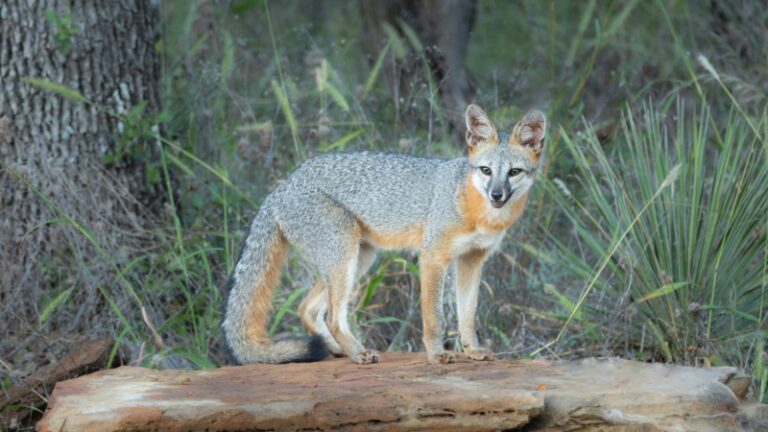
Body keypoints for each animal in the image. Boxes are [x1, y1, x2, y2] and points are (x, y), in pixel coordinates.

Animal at [222, 104, 545, 365]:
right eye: (486, 170)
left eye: (514, 172)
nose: (496, 195)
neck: (476, 210)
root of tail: (282, 186)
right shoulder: (433, 257)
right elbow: (435, 317)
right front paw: (437, 354)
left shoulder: (472, 260)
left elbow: (467, 315)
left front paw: (473, 350)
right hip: (344, 258)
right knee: (333, 316)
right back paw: (357, 353)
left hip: (358, 259)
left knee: (307, 308)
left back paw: (336, 349)